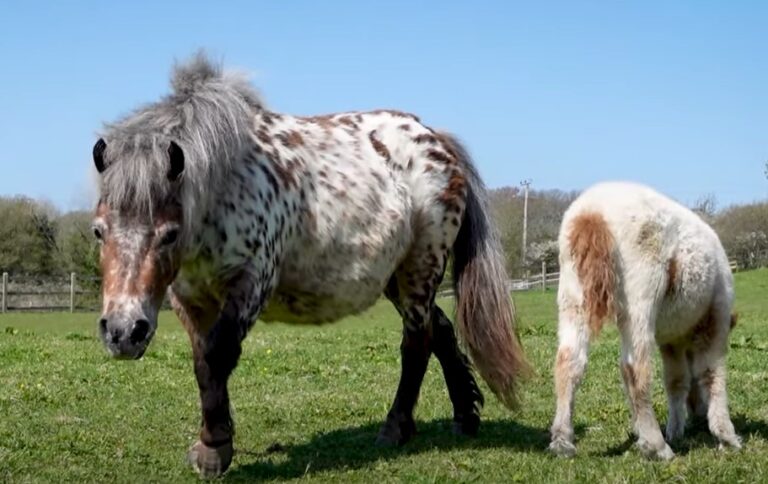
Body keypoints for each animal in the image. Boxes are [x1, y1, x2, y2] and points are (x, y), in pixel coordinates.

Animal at [91, 53, 531, 477]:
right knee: (439, 329)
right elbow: (203, 364)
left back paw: (395, 428)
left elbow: (218, 356)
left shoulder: (251, 283)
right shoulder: (189, 298)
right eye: (98, 231)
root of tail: (437, 140)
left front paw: (215, 451)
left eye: (168, 234)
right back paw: (465, 416)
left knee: (417, 343)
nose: (124, 332)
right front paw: (214, 442)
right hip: (394, 278)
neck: (221, 191)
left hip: (420, 269)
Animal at [548, 181, 741, 460]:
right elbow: (711, 374)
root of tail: (592, 212)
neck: (685, 335)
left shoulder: (671, 341)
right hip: (639, 295)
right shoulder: (715, 320)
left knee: (568, 362)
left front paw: (675, 429)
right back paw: (656, 445)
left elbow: (676, 380)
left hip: (573, 295)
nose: (697, 414)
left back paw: (562, 441)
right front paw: (726, 435)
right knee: (634, 367)